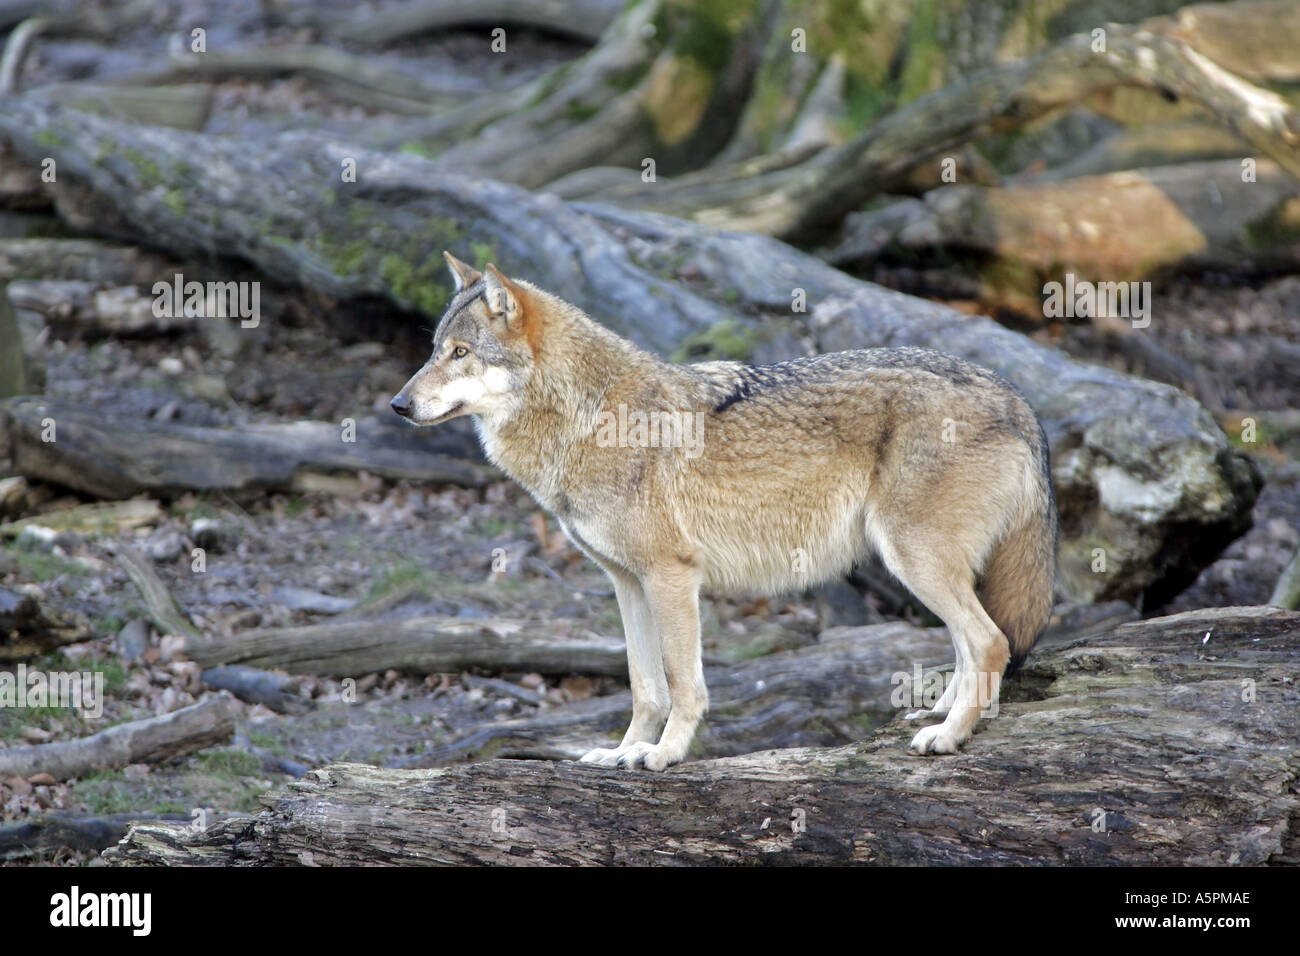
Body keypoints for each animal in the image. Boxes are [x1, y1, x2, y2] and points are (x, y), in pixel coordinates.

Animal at [391, 253, 1059, 771]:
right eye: (434, 351)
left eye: (460, 353)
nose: (398, 404)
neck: (588, 418)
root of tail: (1016, 396)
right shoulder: (627, 582)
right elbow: (644, 686)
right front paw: (623, 752)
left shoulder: (672, 576)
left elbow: (682, 684)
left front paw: (663, 755)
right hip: (924, 564)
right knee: (970, 645)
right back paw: (946, 712)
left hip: (911, 558)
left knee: (990, 642)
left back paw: (948, 737)